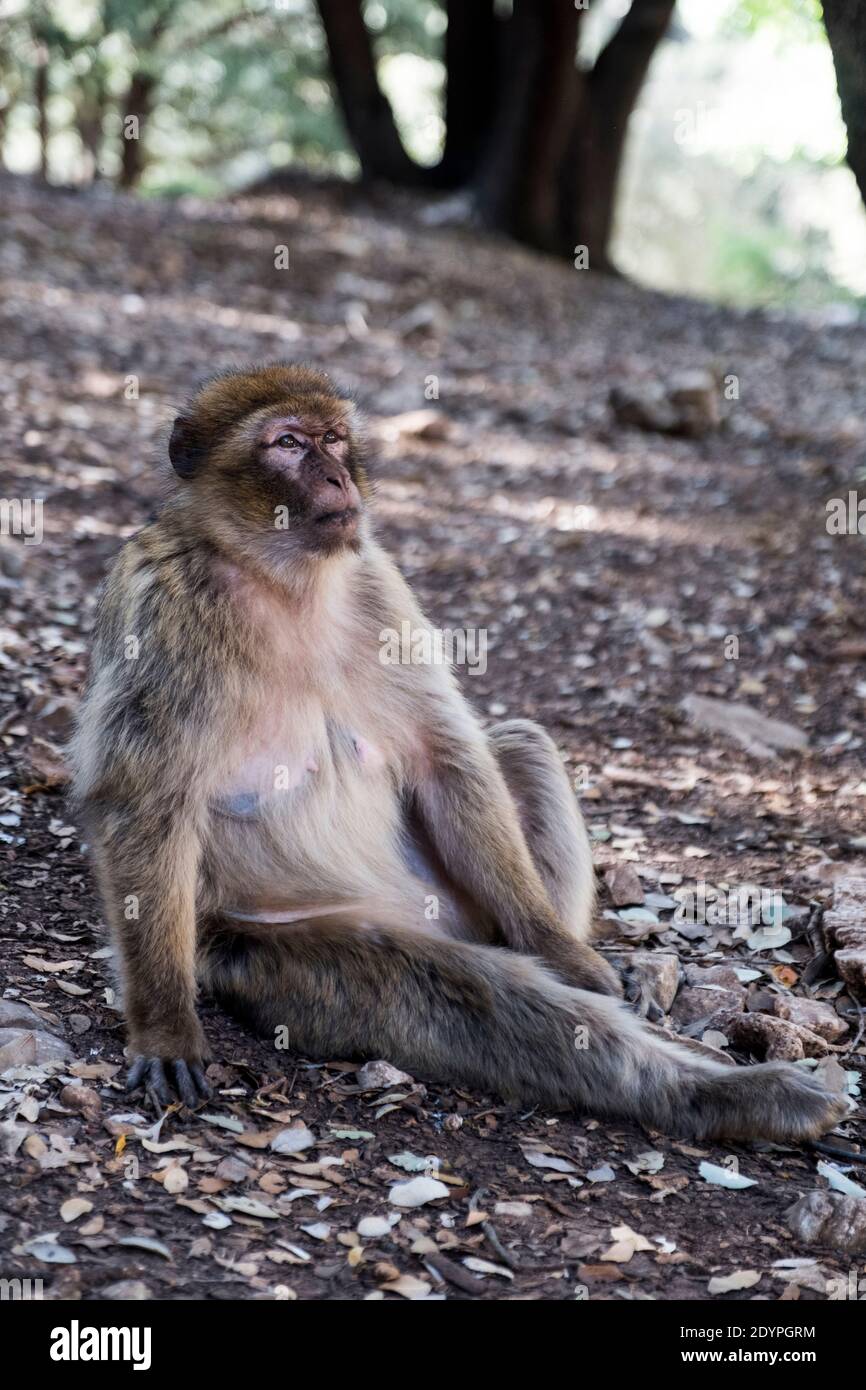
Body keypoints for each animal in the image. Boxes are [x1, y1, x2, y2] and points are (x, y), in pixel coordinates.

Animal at [70, 363, 848, 1144]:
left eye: (333, 438)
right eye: (287, 444)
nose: (336, 479)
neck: (278, 579)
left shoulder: (378, 585)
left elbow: (442, 757)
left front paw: (564, 952)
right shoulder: (160, 605)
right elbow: (146, 803)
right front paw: (166, 1028)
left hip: (463, 895)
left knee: (519, 749)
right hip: (276, 950)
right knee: (471, 989)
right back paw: (737, 1095)